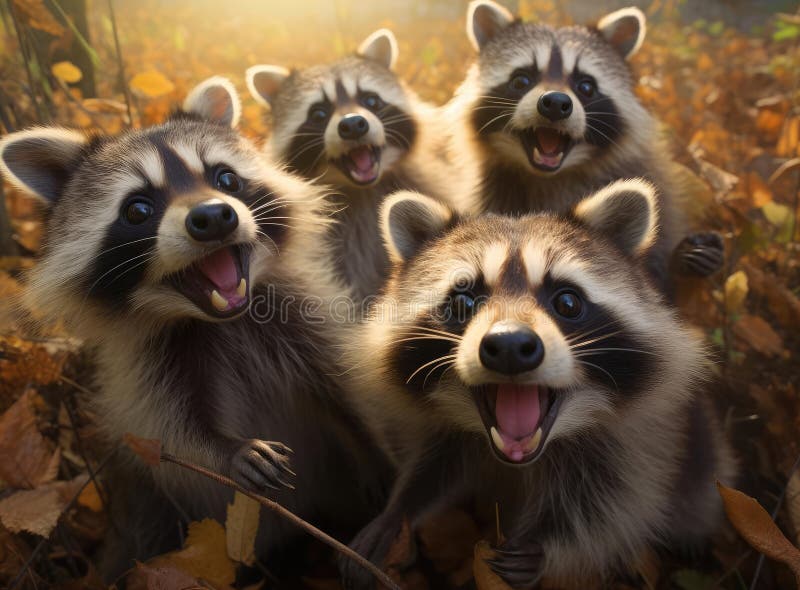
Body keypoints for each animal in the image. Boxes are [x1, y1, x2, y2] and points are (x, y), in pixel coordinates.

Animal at [0, 78, 387, 578]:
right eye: (137, 209)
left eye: (226, 179)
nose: (213, 217)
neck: (221, 320)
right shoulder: (145, 368)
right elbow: (165, 438)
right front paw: (224, 450)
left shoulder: (308, 317)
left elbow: (350, 391)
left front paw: (374, 451)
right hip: (146, 511)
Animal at [339, 181, 735, 589]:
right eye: (463, 301)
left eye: (567, 301)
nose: (510, 346)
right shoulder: (436, 428)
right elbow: (432, 468)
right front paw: (400, 510)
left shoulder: (643, 438)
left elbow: (614, 507)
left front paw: (546, 548)